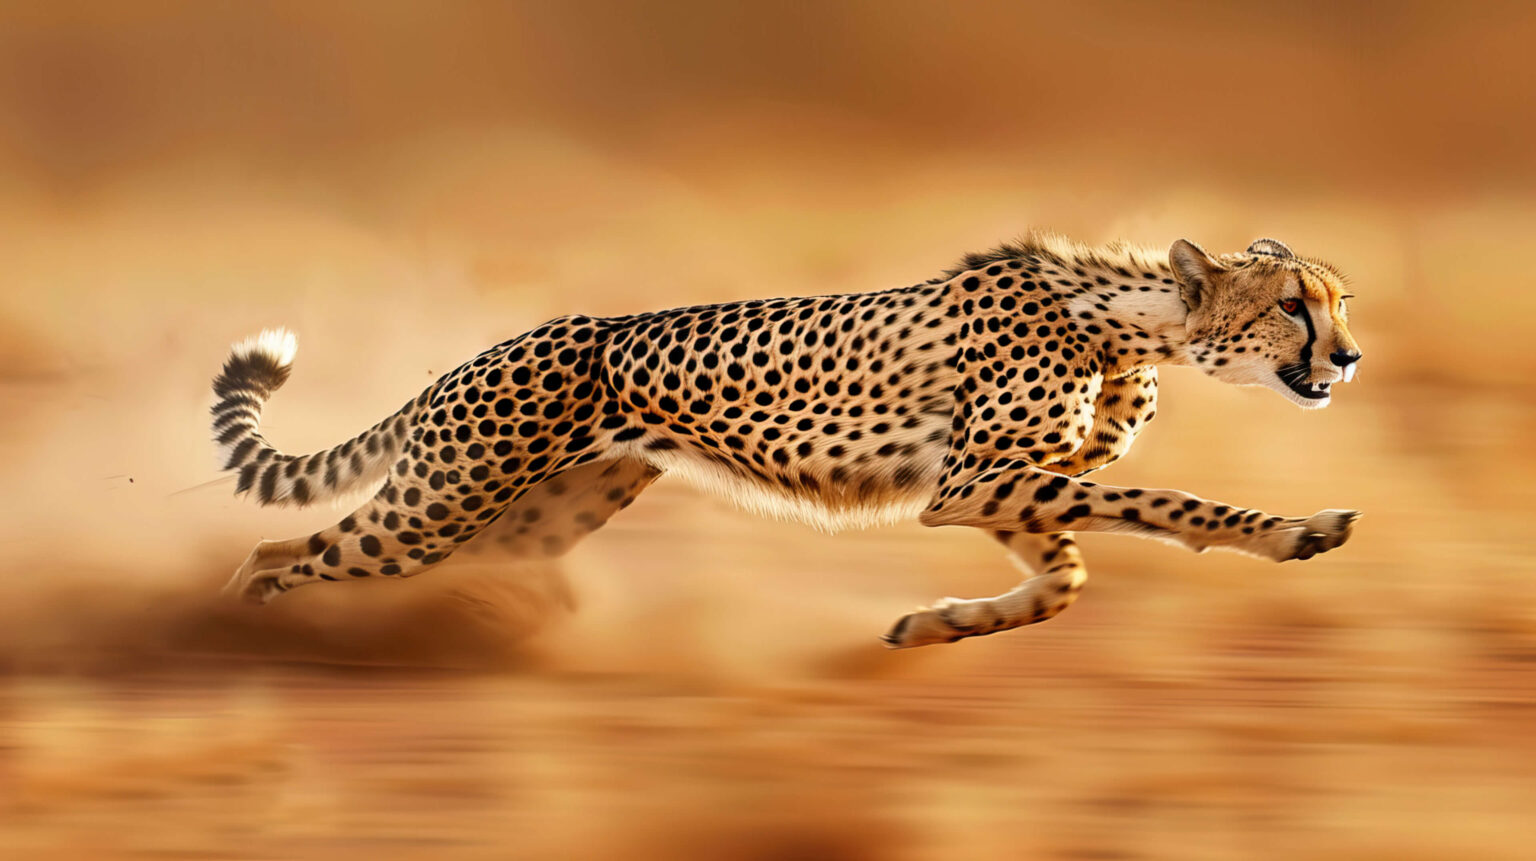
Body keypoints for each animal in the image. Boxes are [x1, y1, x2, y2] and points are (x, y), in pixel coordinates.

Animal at [209, 233, 1363, 648]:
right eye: (1295, 305)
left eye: (1340, 299)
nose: (1349, 359)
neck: (1134, 323)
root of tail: (487, 351)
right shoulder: (974, 480)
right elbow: (1166, 507)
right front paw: (1294, 532)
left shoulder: (1000, 487)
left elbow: (1064, 579)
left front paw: (938, 624)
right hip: (438, 503)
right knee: (277, 552)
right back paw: (240, 642)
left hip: (523, 520)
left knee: (311, 552)